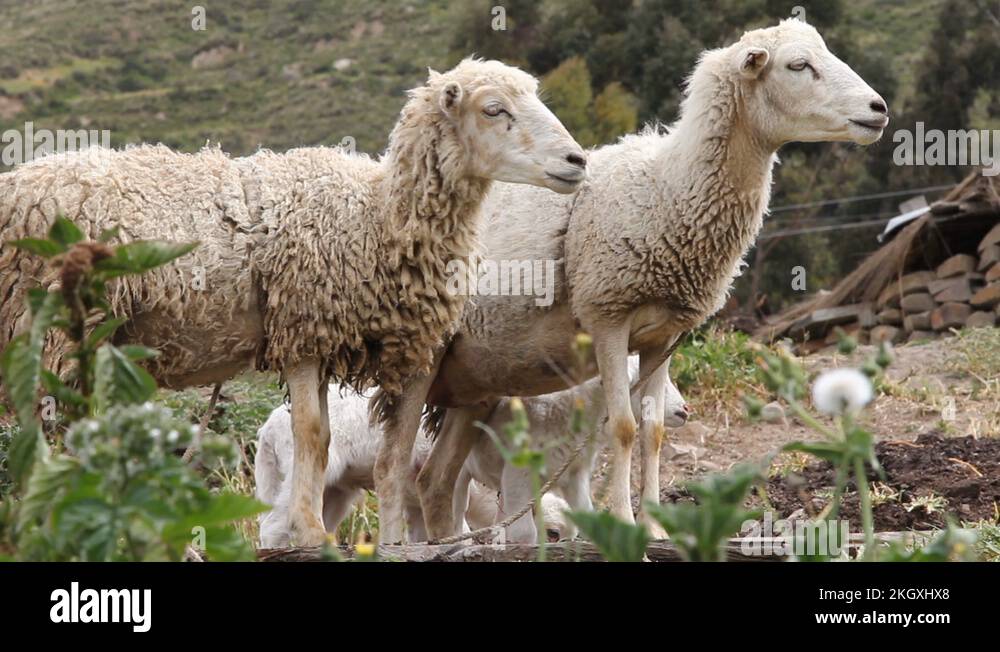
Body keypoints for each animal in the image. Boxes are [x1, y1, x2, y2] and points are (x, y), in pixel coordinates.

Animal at [0, 59, 587, 546]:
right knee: (44, 435)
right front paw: (310, 531)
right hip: (50, 329)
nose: (577, 159)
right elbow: (313, 434)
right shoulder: (304, 324)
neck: (376, 215)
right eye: (494, 109)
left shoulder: (327, 337)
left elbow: (375, 454)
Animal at [376, 20, 890, 541]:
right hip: (423, 358)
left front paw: (658, 527)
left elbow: (654, 433)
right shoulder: (607, 317)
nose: (878, 109)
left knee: (436, 480)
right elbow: (623, 427)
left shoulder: (664, 336)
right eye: (798, 65)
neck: (666, 187)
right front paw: (625, 522)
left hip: (476, 379)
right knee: (396, 464)